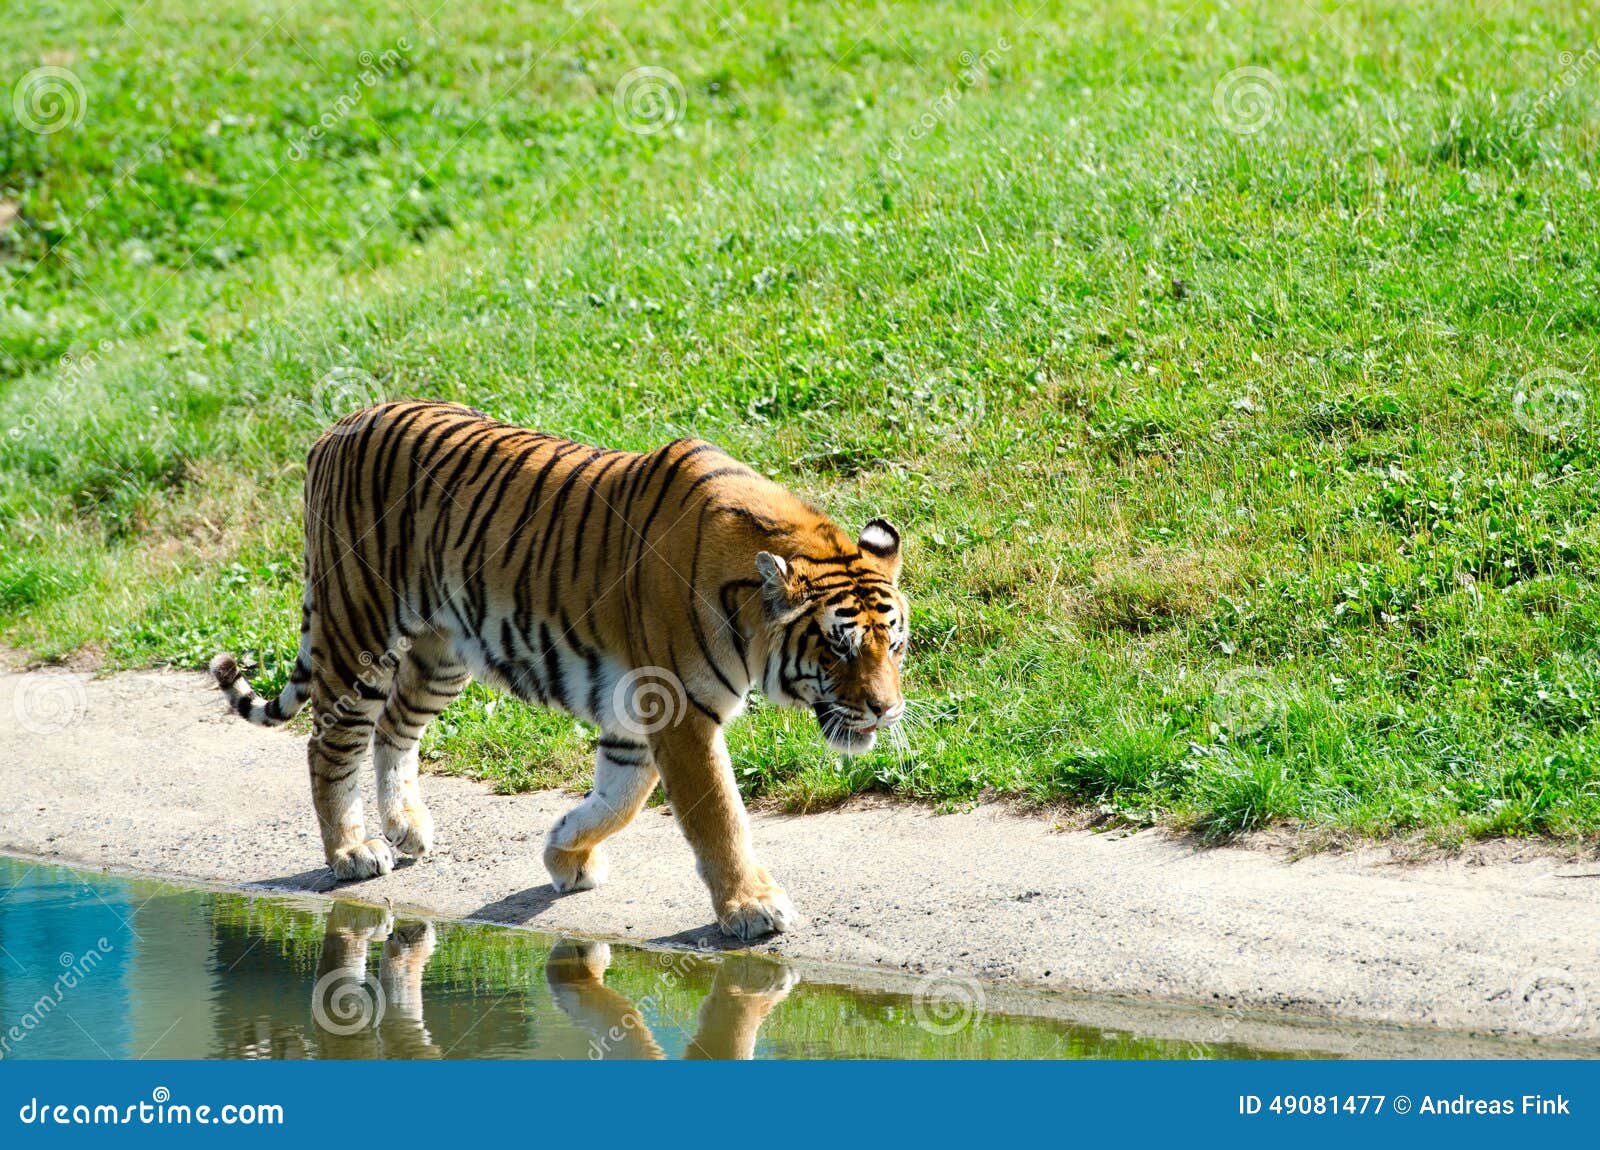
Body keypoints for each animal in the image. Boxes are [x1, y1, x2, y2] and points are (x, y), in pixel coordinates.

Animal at [208, 400, 908, 939]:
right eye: (839, 647)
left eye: (894, 645)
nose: (886, 708)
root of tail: (336, 428)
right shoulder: (680, 710)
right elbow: (719, 816)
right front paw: (752, 908)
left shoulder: (636, 711)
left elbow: (619, 799)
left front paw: (564, 852)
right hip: (359, 629)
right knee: (330, 742)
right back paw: (354, 852)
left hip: (441, 654)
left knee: (393, 729)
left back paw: (406, 828)